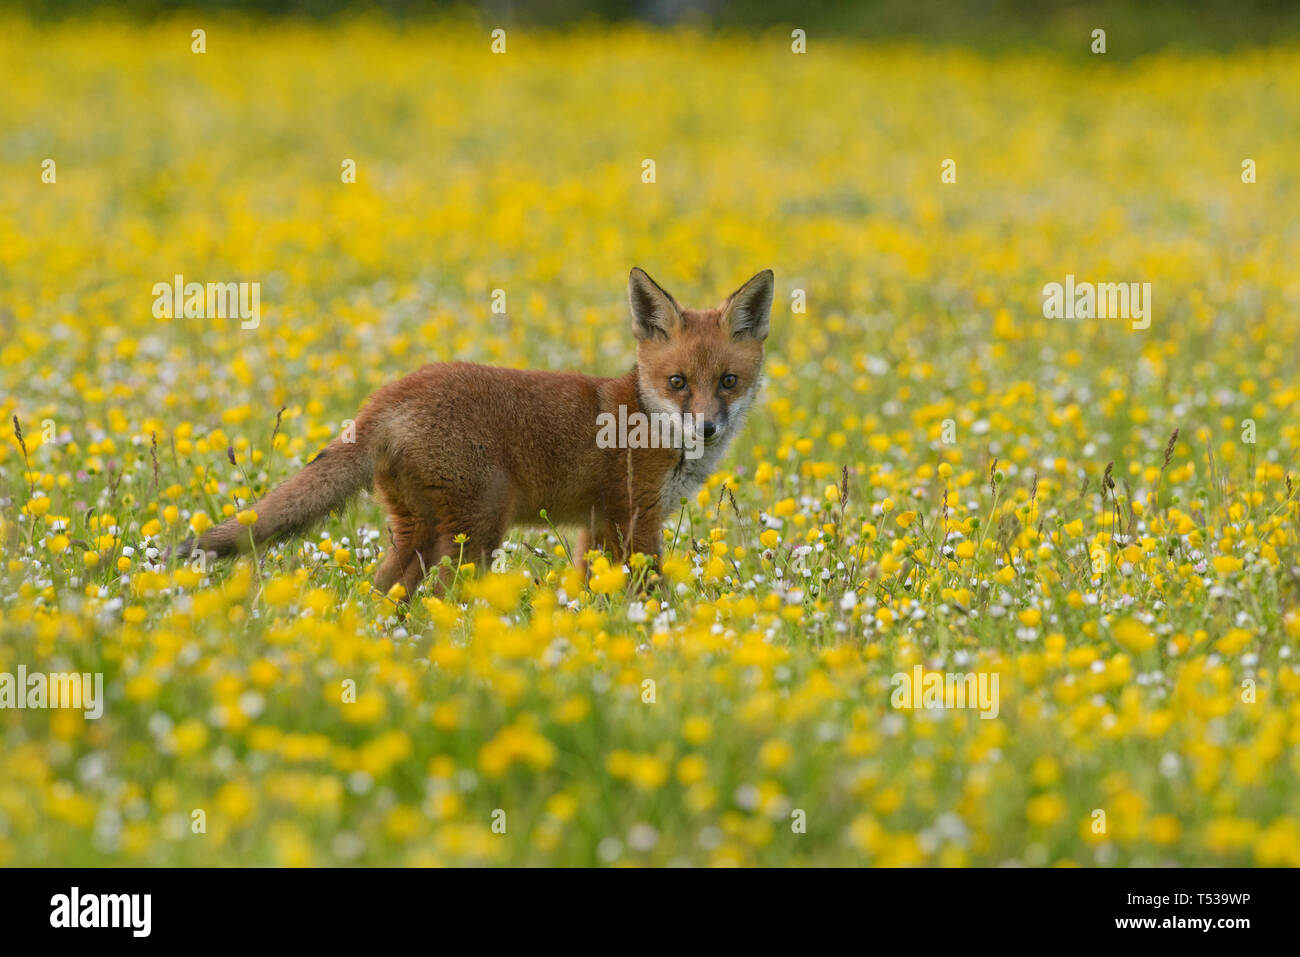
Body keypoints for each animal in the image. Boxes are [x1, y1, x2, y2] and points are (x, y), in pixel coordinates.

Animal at [184, 267, 774, 599]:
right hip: (479, 529)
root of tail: (389, 395)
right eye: (677, 382)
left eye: (728, 382)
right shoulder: (634, 519)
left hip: (419, 533)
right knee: (443, 595)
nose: (707, 427)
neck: (645, 417)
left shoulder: (597, 524)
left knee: (381, 593)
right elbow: (652, 589)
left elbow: (592, 585)